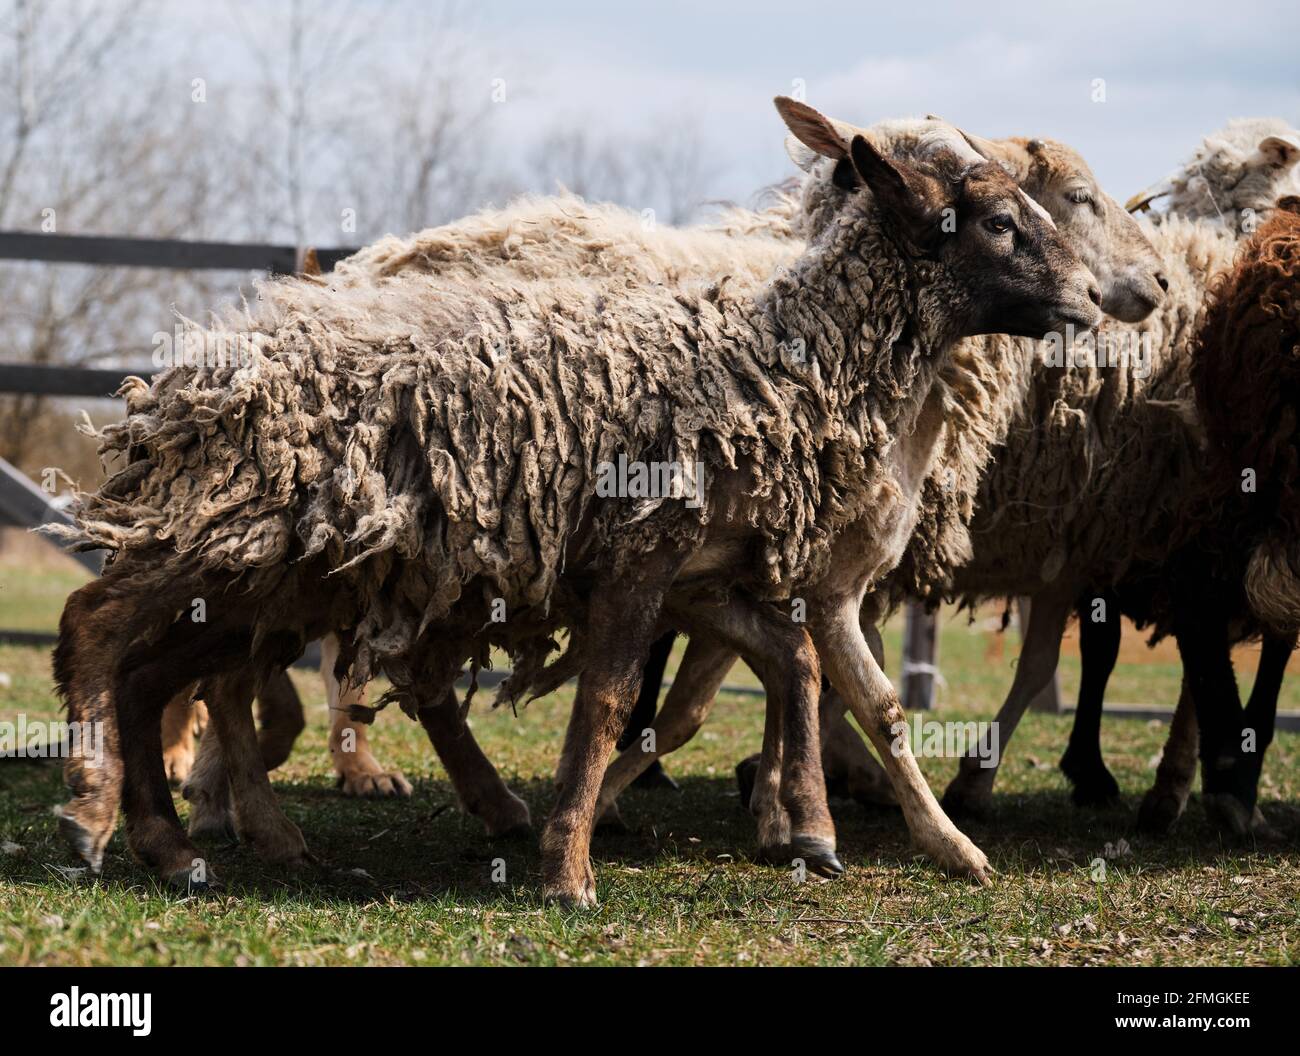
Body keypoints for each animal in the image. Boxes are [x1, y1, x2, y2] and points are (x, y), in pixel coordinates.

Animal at [49, 97, 1100, 904]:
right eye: (999, 222)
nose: (1091, 300)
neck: (776, 355)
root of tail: (188, 370)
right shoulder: (643, 552)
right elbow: (607, 702)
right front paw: (569, 870)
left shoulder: (706, 574)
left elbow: (792, 664)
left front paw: (808, 828)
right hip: (222, 532)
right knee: (96, 623)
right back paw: (95, 811)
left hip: (268, 572)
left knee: (158, 672)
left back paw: (179, 845)